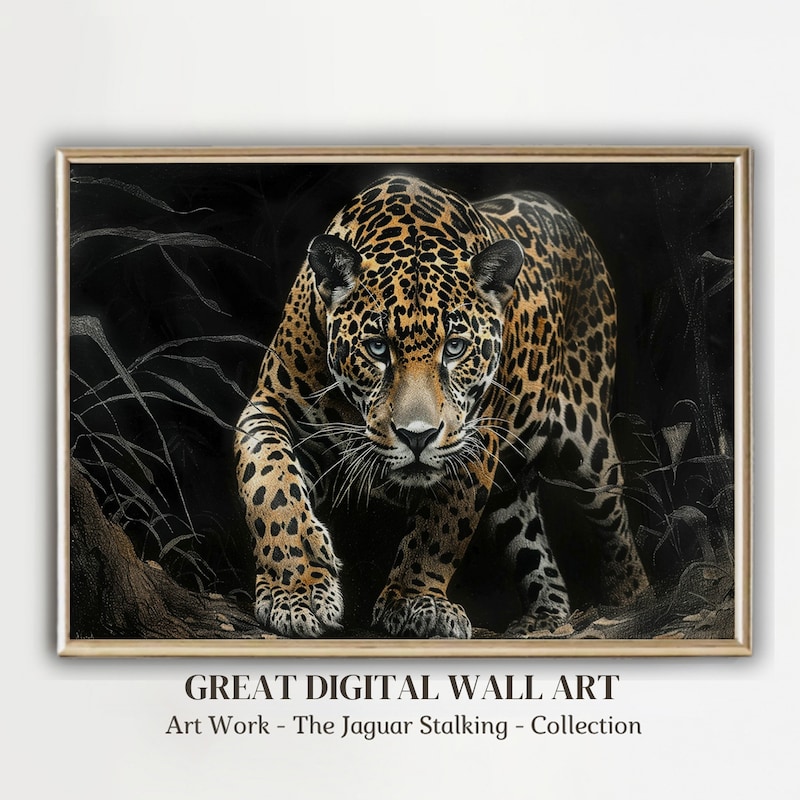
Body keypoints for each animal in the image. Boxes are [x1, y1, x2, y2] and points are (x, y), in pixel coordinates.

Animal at [234, 173, 650, 639]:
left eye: (455, 348)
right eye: (377, 348)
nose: (417, 437)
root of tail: (554, 205)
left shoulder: (473, 442)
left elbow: (441, 529)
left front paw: (415, 600)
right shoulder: (270, 406)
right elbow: (270, 484)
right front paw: (297, 589)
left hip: (590, 448)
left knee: (616, 524)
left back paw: (634, 602)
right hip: (512, 494)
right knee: (530, 542)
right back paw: (544, 620)